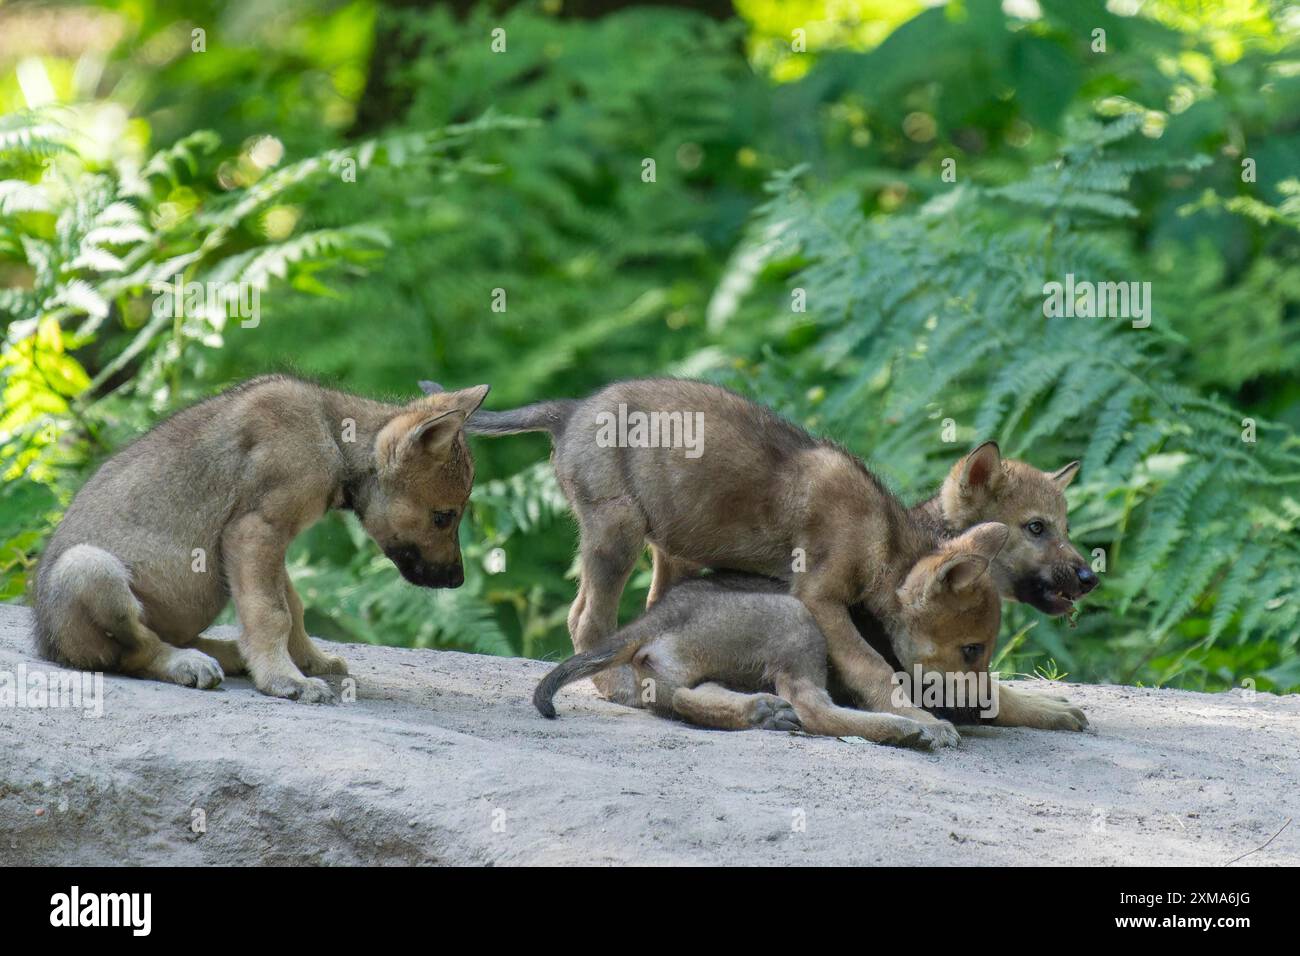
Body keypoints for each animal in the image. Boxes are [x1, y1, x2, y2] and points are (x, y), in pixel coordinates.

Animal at [33, 375, 488, 702]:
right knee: (137, 652)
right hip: (91, 567)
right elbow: (273, 614)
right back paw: (189, 664)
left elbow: (293, 609)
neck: (331, 435)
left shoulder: (271, 542)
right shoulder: (255, 531)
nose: (458, 580)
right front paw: (285, 680)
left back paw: (231, 654)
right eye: (444, 517)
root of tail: (47, 644)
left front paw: (308, 662)